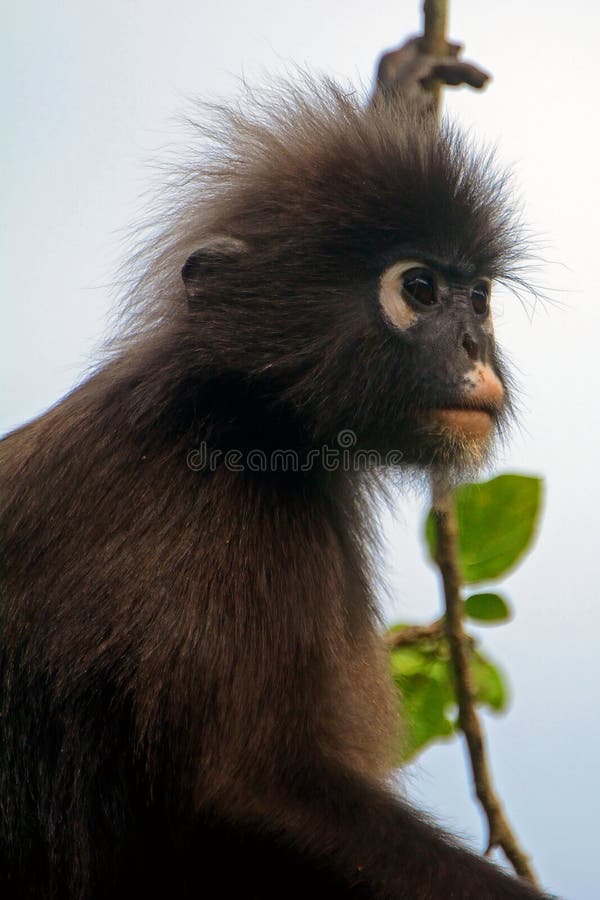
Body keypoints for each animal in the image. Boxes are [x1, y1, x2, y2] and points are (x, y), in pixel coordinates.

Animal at [0, 60, 553, 900]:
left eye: (479, 298)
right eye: (420, 289)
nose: (473, 344)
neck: (241, 412)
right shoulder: (213, 512)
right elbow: (241, 793)